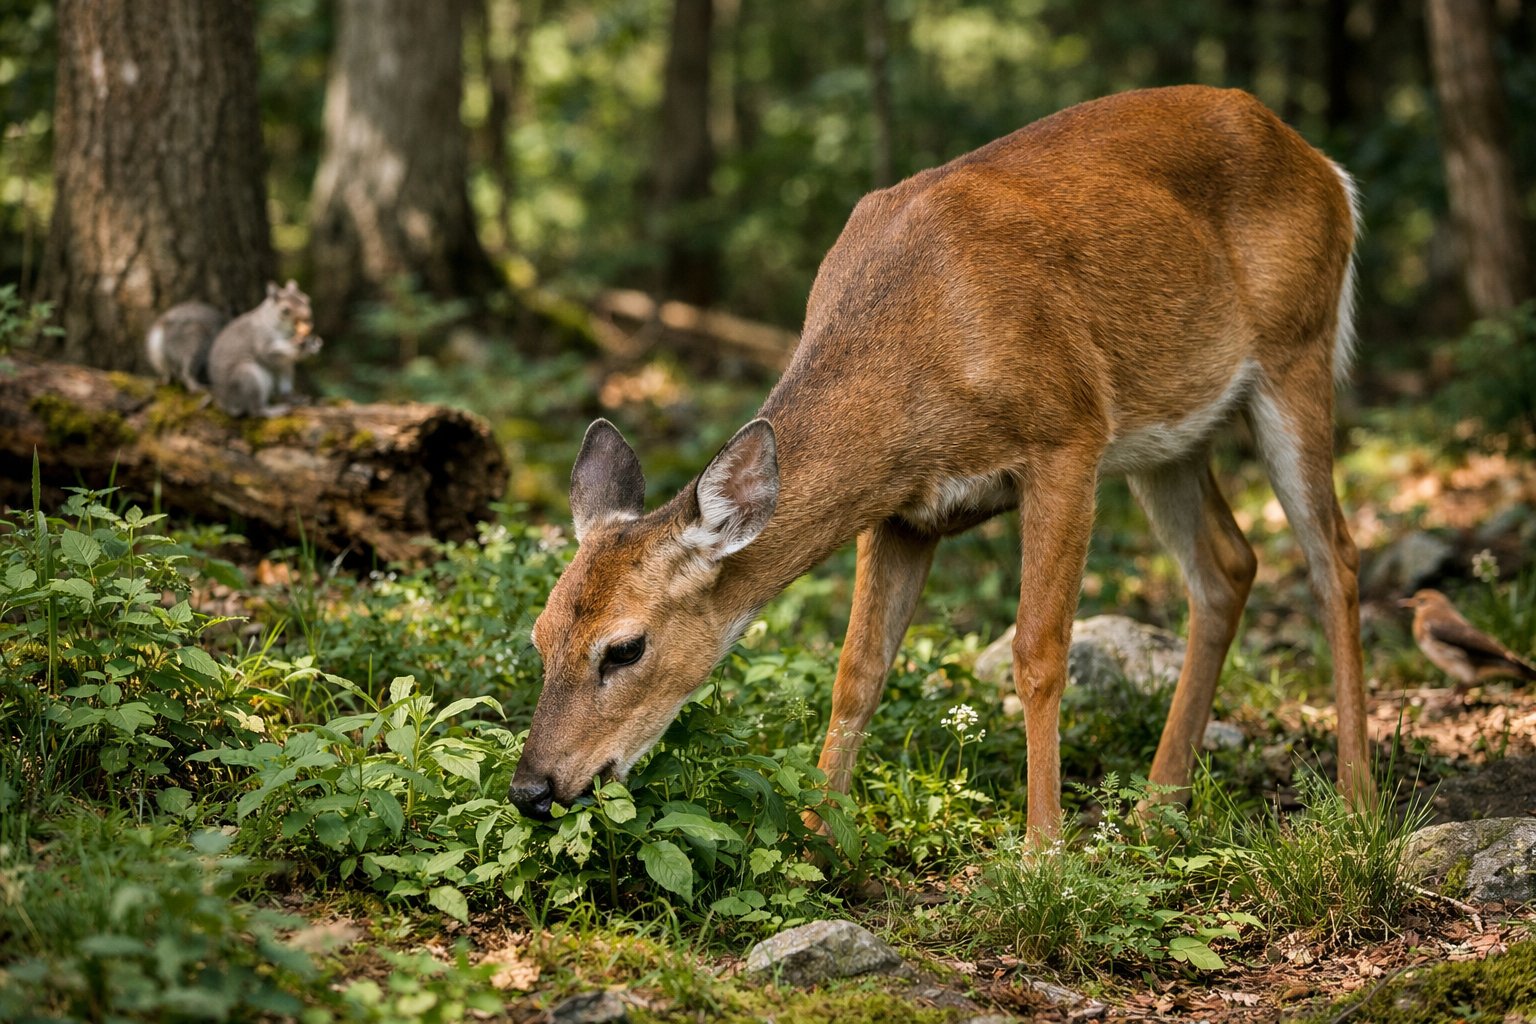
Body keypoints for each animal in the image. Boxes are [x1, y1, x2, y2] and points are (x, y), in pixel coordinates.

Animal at [510, 85, 1374, 841]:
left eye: (625, 647)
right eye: (540, 636)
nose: (532, 789)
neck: (923, 360)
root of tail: (1325, 166)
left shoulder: (1067, 435)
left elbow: (1038, 651)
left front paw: (1042, 854)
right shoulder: (900, 511)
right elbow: (857, 670)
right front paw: (817, 839)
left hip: (1297, 351)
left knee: (1334, 553)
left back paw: (1355, 801)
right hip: (1170, 433)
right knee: (1227, 565)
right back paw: (1159, 808)